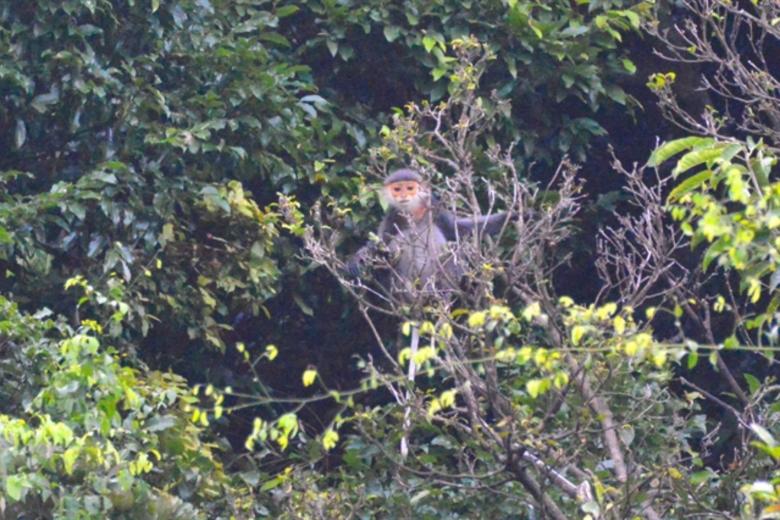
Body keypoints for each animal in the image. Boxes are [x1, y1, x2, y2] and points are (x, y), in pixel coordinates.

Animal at [346, 168, 511, 295]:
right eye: (397, 189)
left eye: (409, 188)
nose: (403, 195)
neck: (412, 212)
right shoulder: (393, 214)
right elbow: (381, 242)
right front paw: (356, 259)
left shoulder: (432, 203)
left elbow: (455, 228)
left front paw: (510, 216)